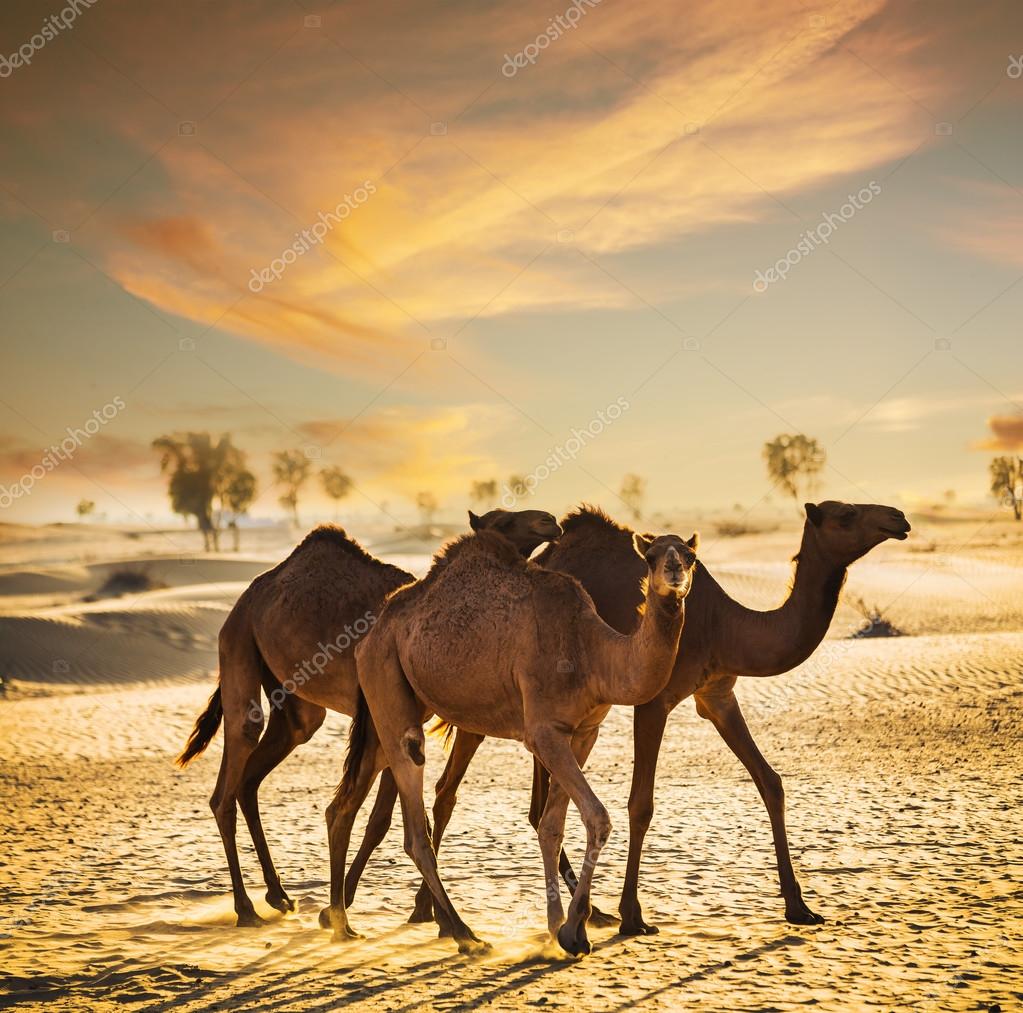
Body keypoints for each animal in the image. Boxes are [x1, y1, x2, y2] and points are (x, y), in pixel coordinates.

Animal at [175, 508, 561, 927]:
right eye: (502, 521)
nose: (549, 521)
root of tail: (247, 598)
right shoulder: (385, 715)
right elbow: (380, 816)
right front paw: (352, 907)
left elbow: (380, 820)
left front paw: (351, 903)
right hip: (238, 642)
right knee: (229, 778)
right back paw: (246, 908)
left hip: (294, 704)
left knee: (260, 767)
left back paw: (278, 895)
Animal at [328, 521, 698, 955]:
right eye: (651, 556)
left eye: (690, 556)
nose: (674, 570)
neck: (592, 653)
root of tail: (371, 633)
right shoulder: (543, 732)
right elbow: (597, 818)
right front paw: (572, 930)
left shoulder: (583, 733)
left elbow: (552, 825)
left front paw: (560, 927)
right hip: (386, 677)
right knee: (413, 818)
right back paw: (464, 933)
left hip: (394, 700)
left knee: (345, 803)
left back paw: (340, 923)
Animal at [391, 499, 910, 933]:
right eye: (845, 514)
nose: (898, 518)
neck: (724, 626)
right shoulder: (654, 701)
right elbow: (641, 804)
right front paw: (632, 914)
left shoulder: (717, 695)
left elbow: (770, 781)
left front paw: (799, 906)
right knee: (449, 790)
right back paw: (436, 913)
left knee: (531, 803)